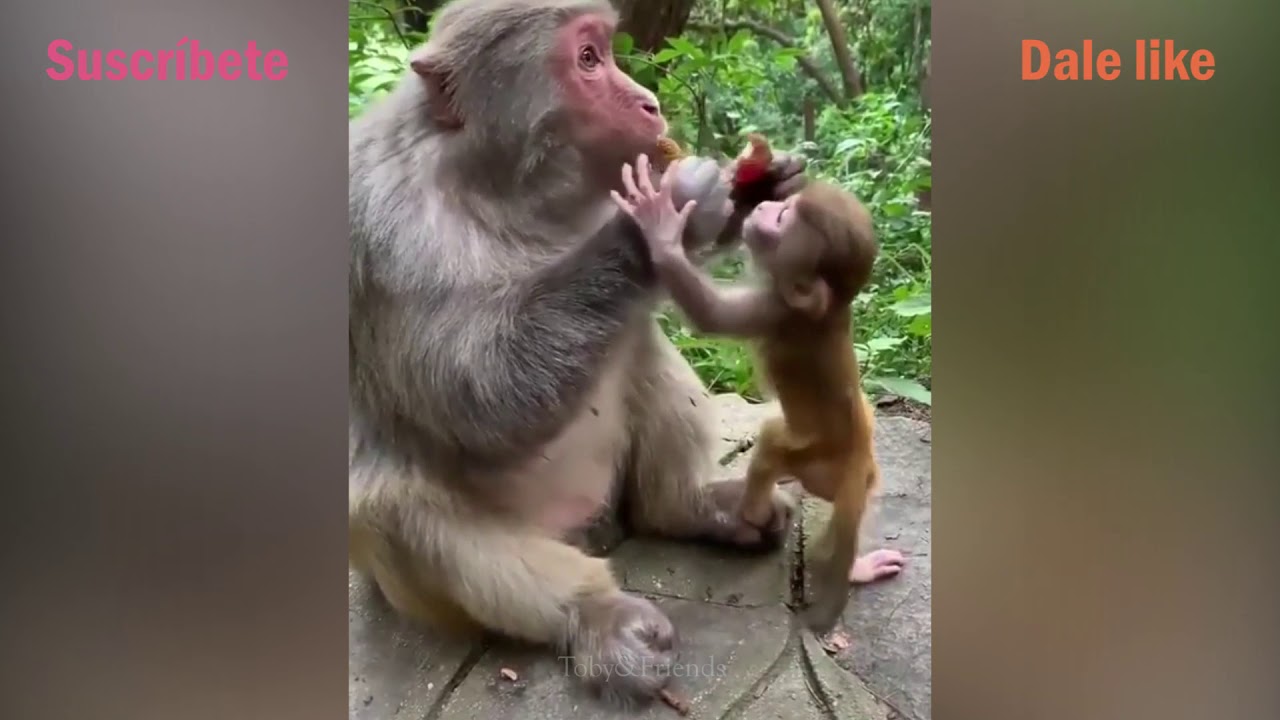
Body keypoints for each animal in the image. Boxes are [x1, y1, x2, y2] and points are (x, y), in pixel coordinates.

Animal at [348, 0, 808, 707]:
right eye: (588, 60)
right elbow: (471, 393)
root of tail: (583, 520)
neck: (499, 187)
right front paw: (667, 210)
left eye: (607, 51)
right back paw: (594, 614)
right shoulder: (384, 226)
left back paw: (687, 505)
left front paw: (748, 186)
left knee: (630, 336)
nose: (649, 102)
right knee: (391, 500)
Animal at [611, 148, 905, 635]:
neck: (826, 308)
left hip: (813, 460)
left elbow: (709, 315)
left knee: (770, 439)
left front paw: (661, 227)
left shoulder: (775, 310)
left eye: (786, 220)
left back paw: (749, 514)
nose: (767, 208)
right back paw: (856, 567)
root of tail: (856, 464)